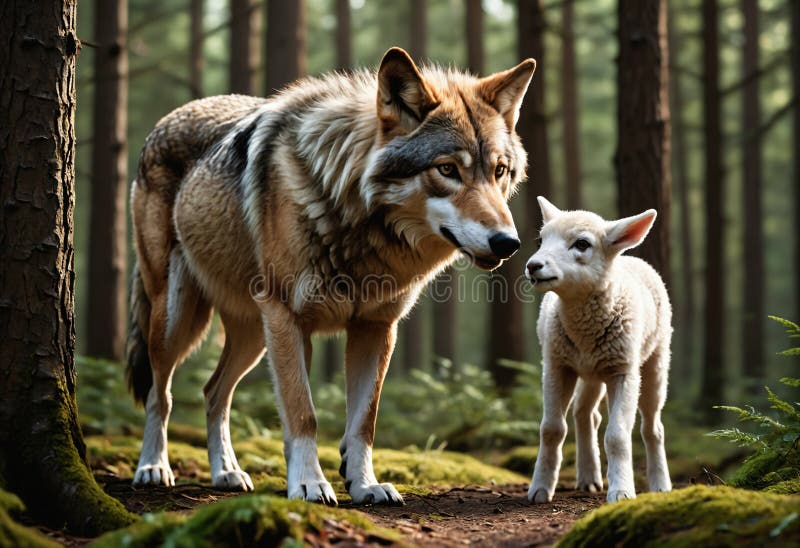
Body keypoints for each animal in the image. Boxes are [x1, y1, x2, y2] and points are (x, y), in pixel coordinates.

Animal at [126, 47, 536, 506]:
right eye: (447, 169)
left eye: (499, 171)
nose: (508, 242)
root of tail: (168, 117)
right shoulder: (288, 319)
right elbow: (303, 414)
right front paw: (309, 483)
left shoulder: (376, 327)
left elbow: (364, 422)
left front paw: (365, 484)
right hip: (178, 318)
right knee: (160, 394)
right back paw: (152, 467)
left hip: (253, 337)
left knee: (214, 392)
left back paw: (227, 472)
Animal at [524, 196, 672, 504]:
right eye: (541, 240)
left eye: (582, 244)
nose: (533, 265)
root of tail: (629, 256)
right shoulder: (556, 365)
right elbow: (551, 429)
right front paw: (540, 488)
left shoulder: (623, 372)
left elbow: (617, 435)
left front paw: (622, 492)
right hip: (590, 371)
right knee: (586, 414)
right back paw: (589, 477)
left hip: (656, 360)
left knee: (653, 427)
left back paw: (660, 483)